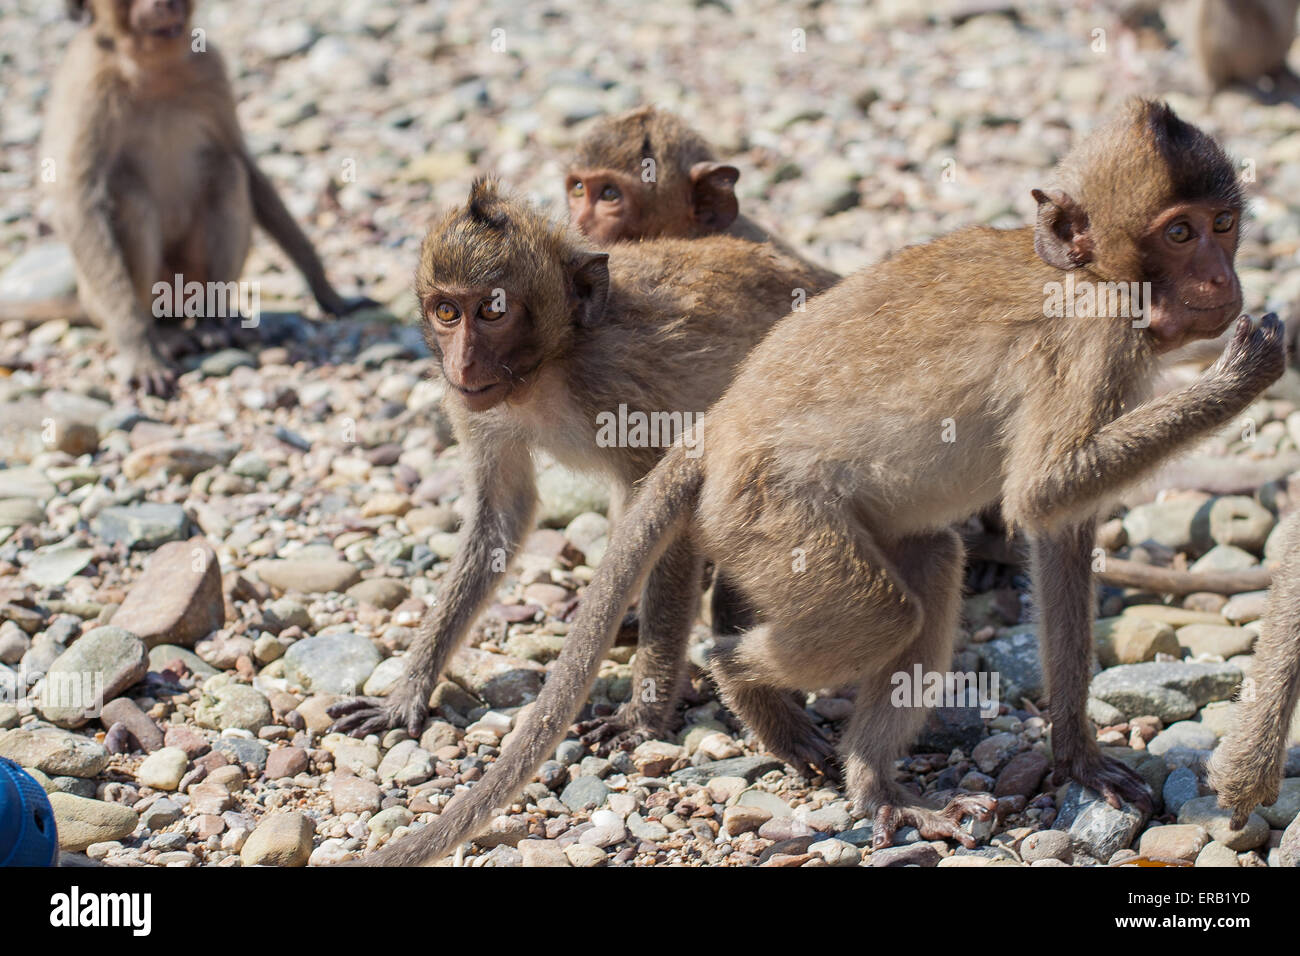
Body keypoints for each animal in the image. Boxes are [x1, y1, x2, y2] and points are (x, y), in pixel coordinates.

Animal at [40, 0, 371, 396]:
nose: (165, 3)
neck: (152, 69)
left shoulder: (211, 67)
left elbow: (246, 166)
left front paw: (325, 287)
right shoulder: (88, 83)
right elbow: (79, 200)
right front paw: (138, 347)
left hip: (188, 280)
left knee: (228, 172)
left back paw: (213, 321)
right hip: (103, 297)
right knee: (128, 195)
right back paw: (164, 332)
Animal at [326, 176, 834, 745]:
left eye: (492, 311)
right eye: (448, 312)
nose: (462, 363)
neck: (552, 365)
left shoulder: (621, 388)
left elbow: (669, 521)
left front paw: (643, 715)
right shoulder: (472, 404)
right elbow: (501, 517)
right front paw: (409, 691)